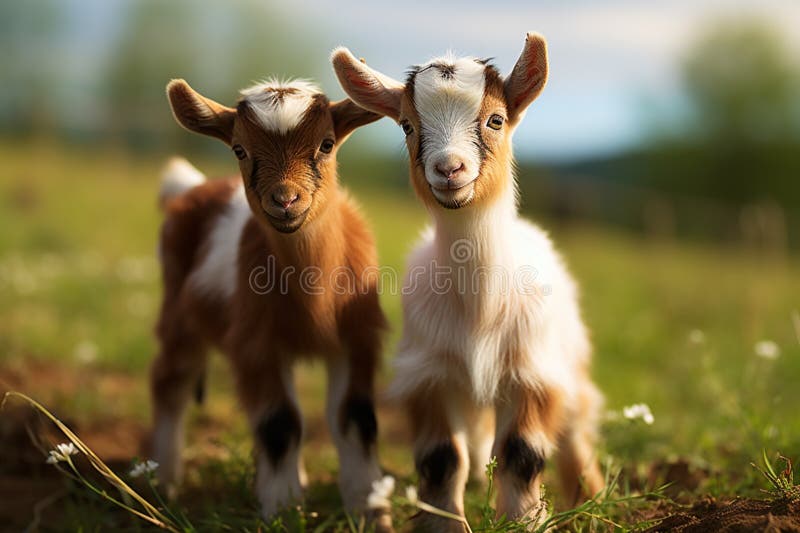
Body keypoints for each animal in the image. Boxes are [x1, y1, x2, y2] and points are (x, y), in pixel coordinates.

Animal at [151, 78, 391, 530]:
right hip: (178, 311)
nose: (285, 200)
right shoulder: (256, 343)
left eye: (327, 143)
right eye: (239, 149)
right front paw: (282, 511)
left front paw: (371, 511)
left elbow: (355, 418)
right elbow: (280, 424)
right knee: (170, 380)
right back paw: (163, 481)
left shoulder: (357, 337)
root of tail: (193, 187)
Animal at [332, 34, 604, 530]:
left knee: (577, 424)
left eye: (496, 119)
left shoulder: (531, 371)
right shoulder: (431, 374)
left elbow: (521, 453)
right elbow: (441, 459)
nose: (449, 168)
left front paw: (523, 521)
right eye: (407, 125)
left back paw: (590, 497)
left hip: (568, 356)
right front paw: (445, 524)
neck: (481, 309)